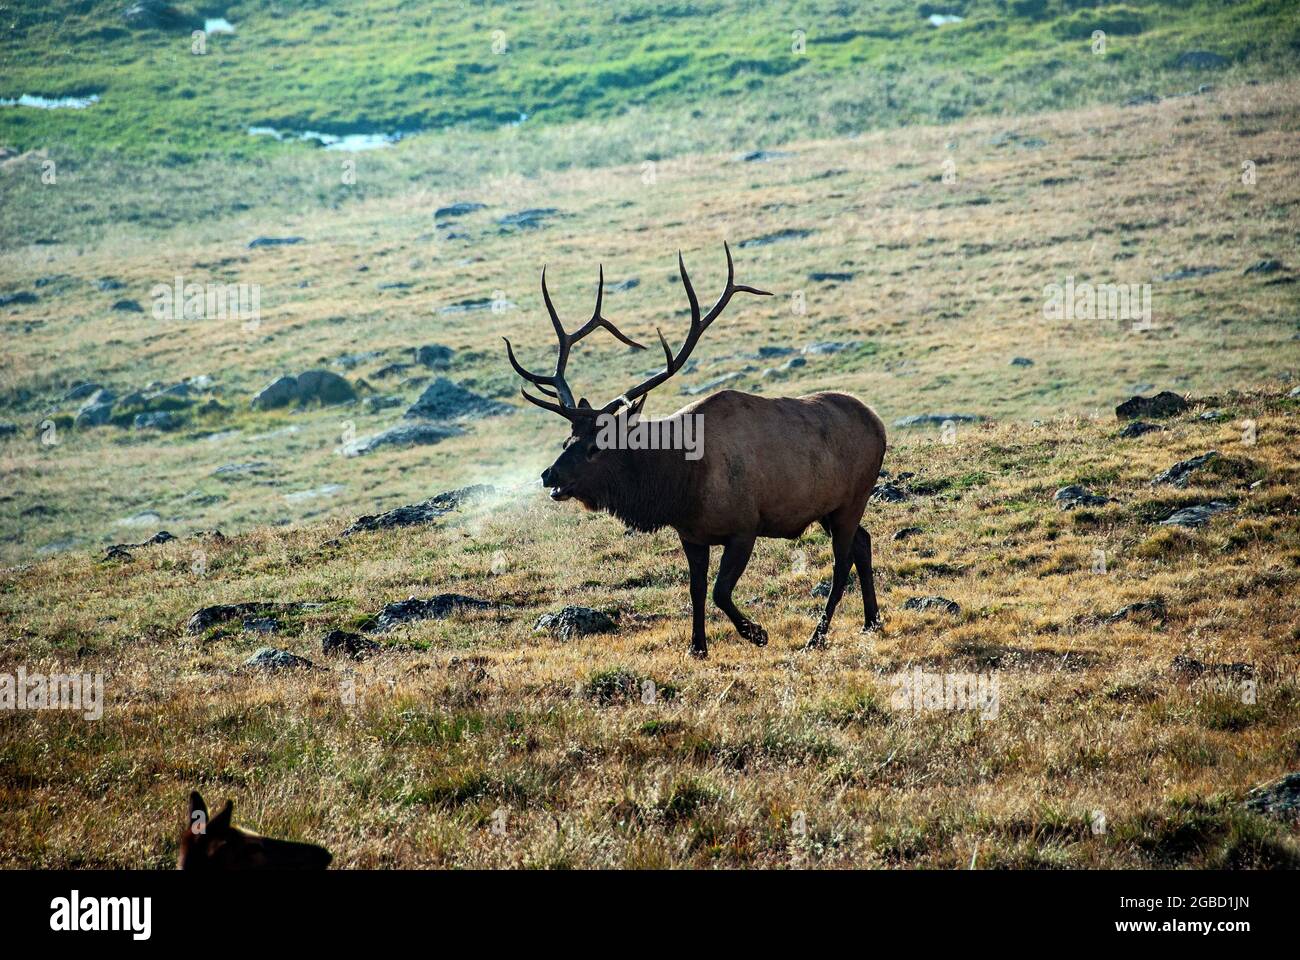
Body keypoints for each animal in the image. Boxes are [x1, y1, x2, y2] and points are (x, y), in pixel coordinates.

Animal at [504, 243, 887, 658]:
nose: (549, 474)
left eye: (594, 447)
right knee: (863, 543)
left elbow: (719, 591)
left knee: (842, 561)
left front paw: (756, 632)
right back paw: (871, 621)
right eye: (565, 441)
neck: (680, 482)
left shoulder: (745, 527)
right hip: (830, 508)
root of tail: (878, 421)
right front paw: (697, 647)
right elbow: (697, 589)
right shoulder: (691, 534)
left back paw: (817, 636)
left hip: (853, 497)